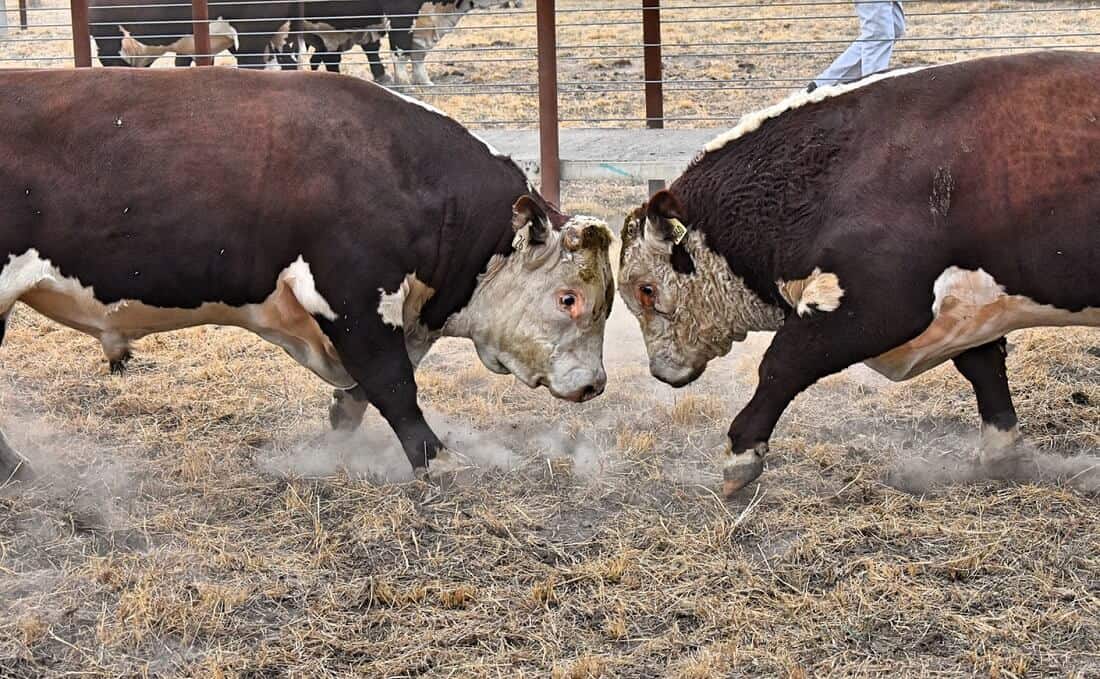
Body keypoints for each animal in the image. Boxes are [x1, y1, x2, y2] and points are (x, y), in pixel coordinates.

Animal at [0, 67, 614, 485]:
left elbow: (366, 389)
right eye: (569, 299)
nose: (595, 385)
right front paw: (437, 460)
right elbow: (394, 381)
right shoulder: (351, 294)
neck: (403, 172)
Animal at [616, 51, 1100, 497]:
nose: (661, 373)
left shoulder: (877, 305)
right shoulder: (969, 309)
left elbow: (783, 364)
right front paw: (1001, 455)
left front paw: (741, 454)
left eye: (646, 289)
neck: (831, 175)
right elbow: (984, 370)